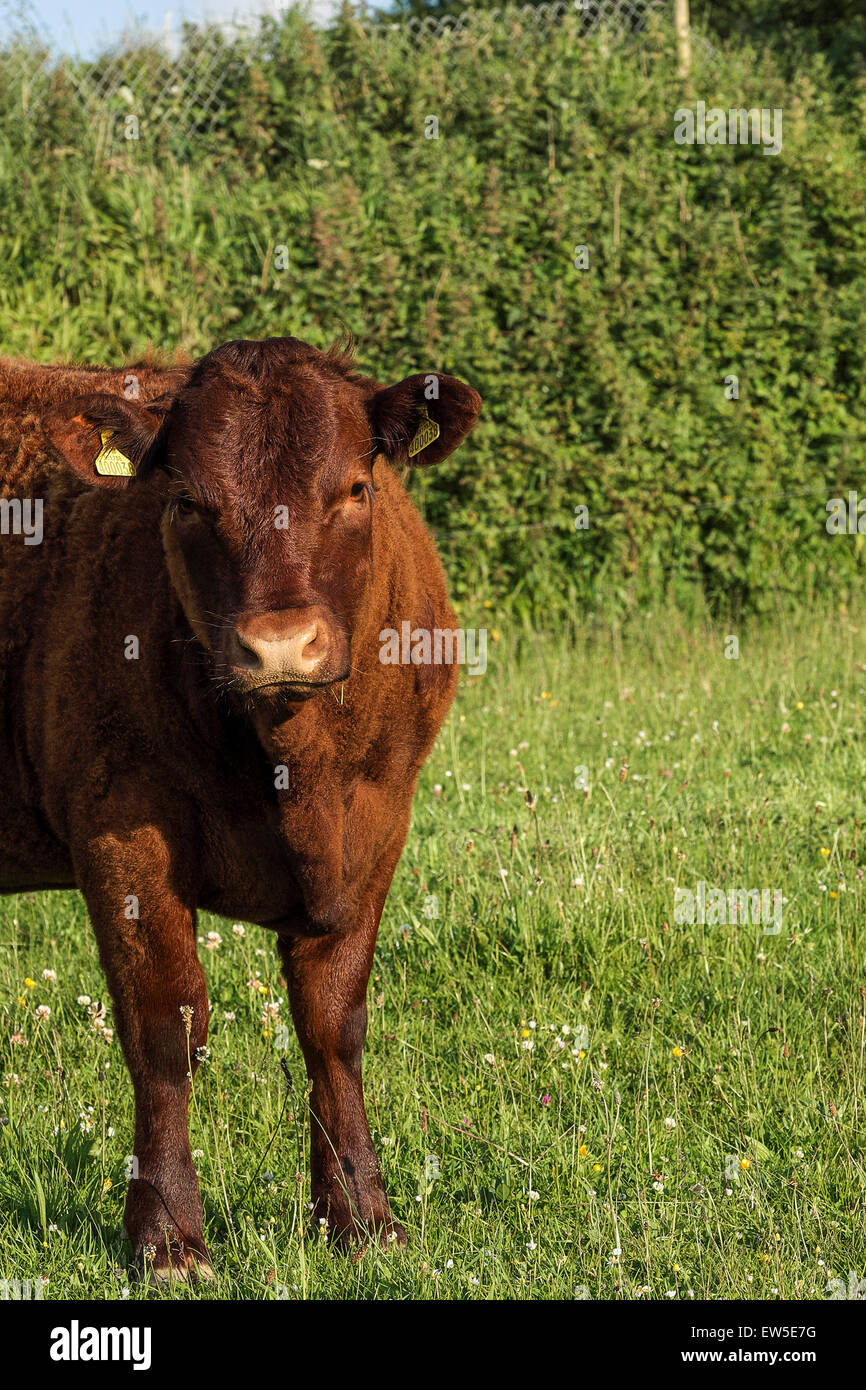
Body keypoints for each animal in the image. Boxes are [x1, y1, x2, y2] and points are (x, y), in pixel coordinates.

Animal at [0, 337, 481, 1280]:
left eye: (356, 489)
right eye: (187, 500)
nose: (281, 646)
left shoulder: (380, 825)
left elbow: (333, 1023)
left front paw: (361, 1217)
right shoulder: (122, 828)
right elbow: (164, 1028)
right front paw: (167, 1238)